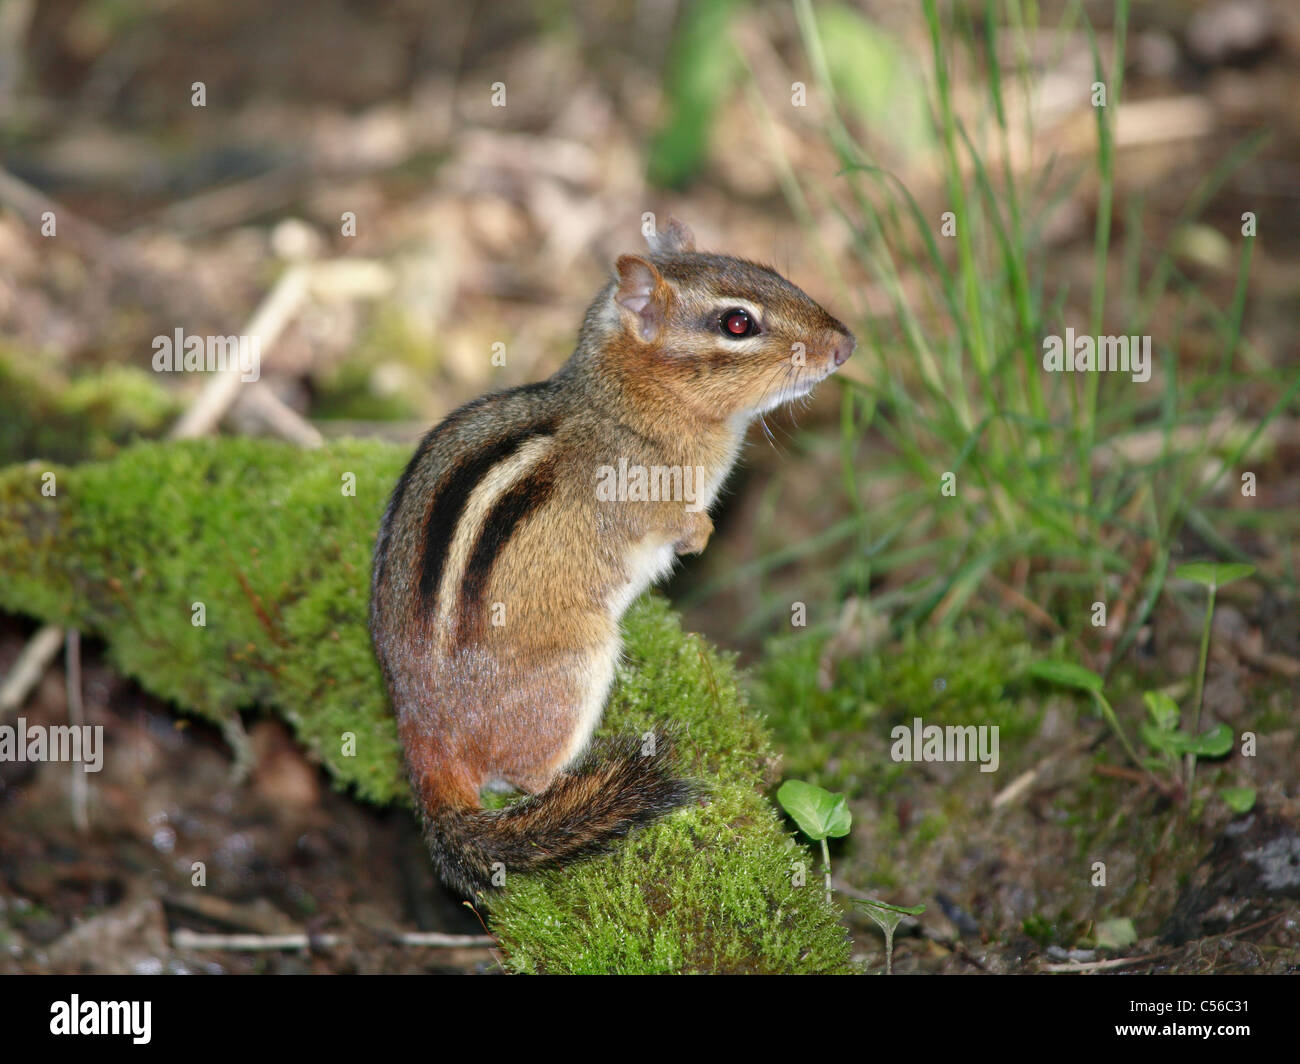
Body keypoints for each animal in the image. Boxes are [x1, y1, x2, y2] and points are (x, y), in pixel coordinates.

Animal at [369, 218, 855, 898]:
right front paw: (698, 534)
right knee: (525, 780)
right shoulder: (644, 496)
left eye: (771, 272)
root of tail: (422, 734)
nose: (846, 344)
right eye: (737, 323)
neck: (629, 401)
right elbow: (668, 520)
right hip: (579, 660)